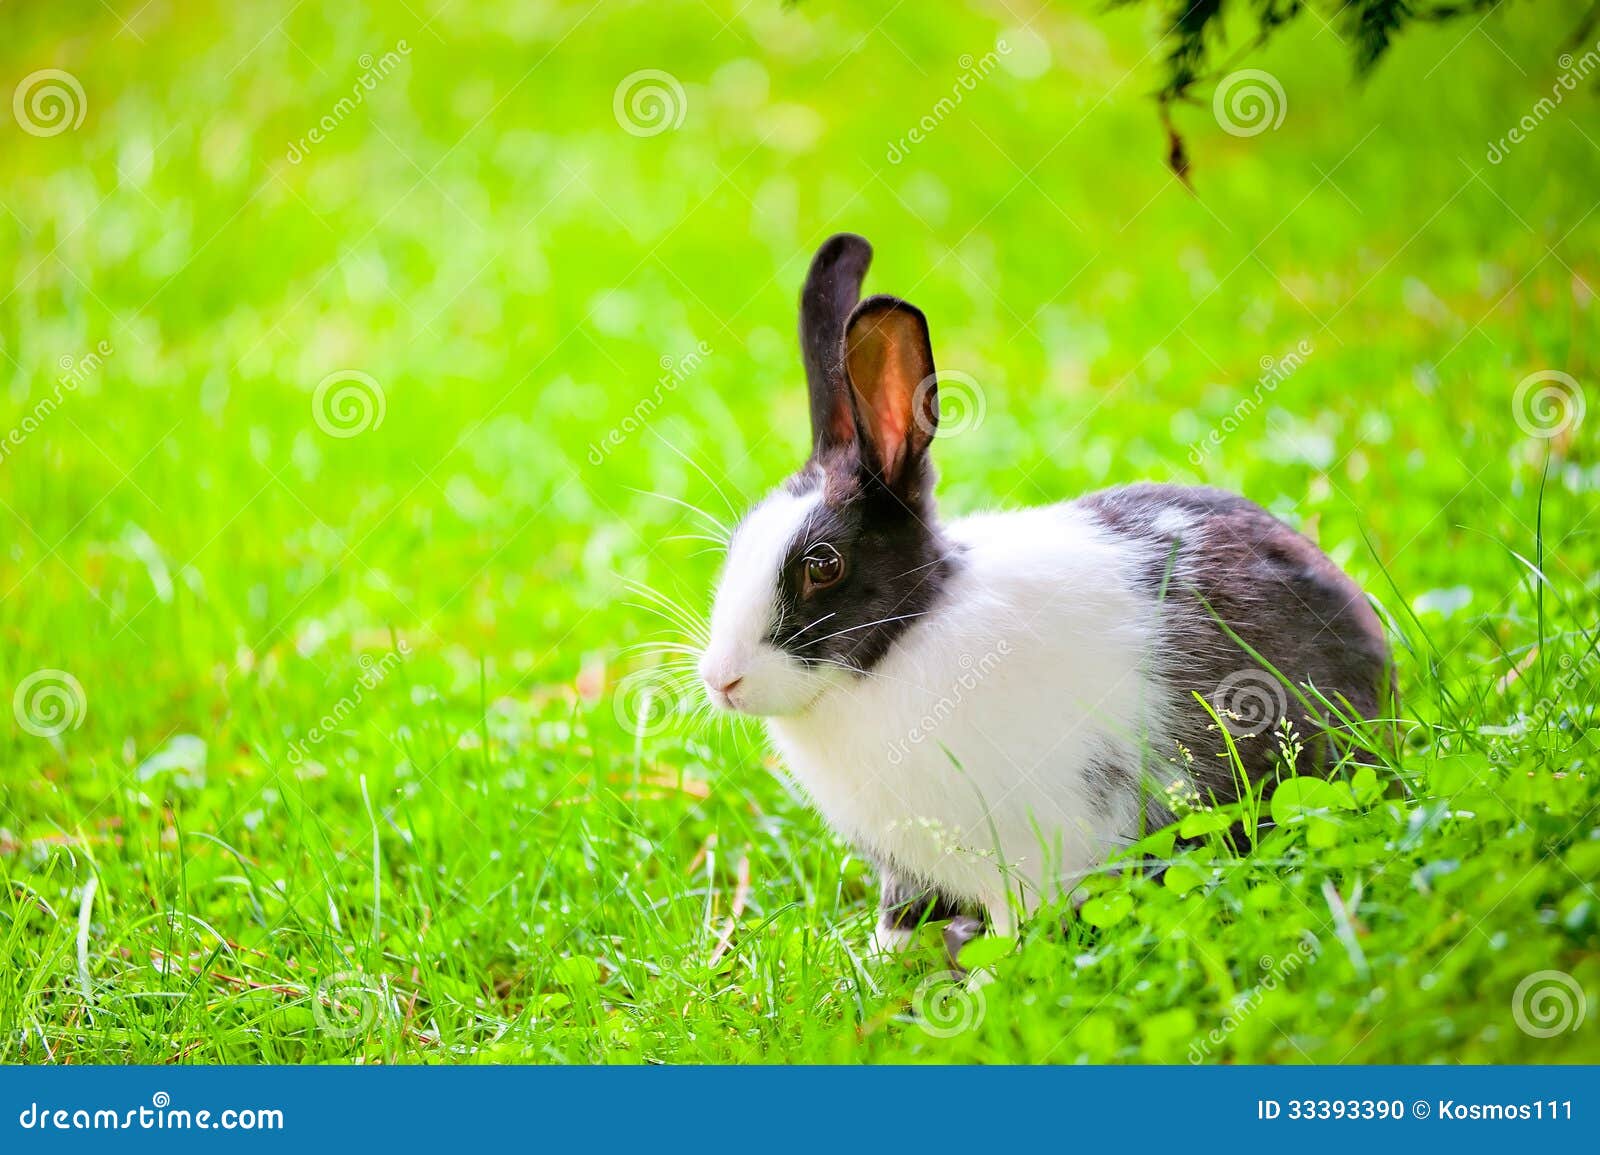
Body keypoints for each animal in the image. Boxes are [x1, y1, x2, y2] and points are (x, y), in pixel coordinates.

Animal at [697, 233, 1393, 956]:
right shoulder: (908, 867)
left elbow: (1017, 921)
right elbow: (901, 911)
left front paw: (990, 968)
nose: (721, 681)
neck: (904, 639)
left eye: (823, 565)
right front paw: (887, 957)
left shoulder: (1029, 849)